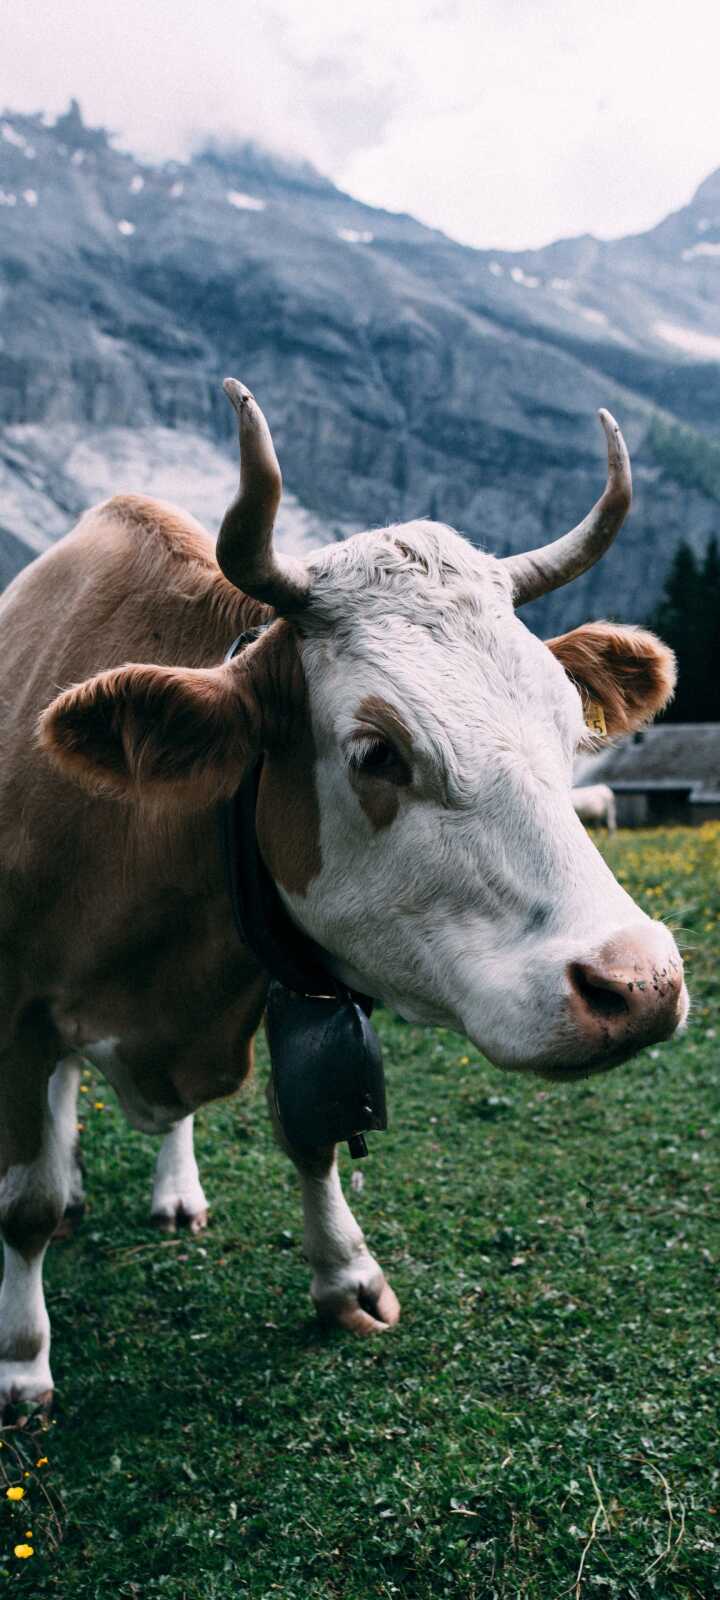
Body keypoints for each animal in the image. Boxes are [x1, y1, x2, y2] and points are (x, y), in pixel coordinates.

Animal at [0, 382, 687, 1418]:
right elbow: (25, 1201)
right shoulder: (17, 1012)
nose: (639, 984)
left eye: (573, 724)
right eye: (376, 752)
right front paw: (21, 1362)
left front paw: (347, 1277)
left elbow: (312, 1129)